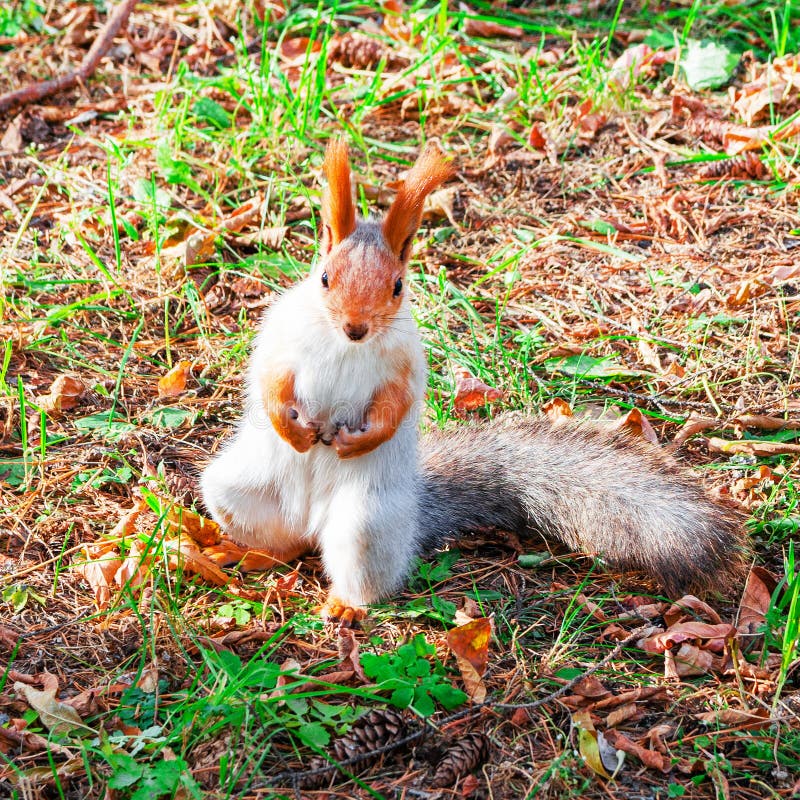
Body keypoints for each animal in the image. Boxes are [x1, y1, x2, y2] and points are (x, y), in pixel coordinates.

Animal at [200, 139, 747, 625]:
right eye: (324, 279)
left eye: (397, 286)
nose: (356, 327)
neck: (345, 346)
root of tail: (311, 521)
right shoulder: (283, 337)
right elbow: (271, 380)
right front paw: (289, 428)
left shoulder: (404, 363)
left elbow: (396, 405)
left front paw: (362, 440)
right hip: (235, 491)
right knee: (284, 541)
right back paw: (250, 554)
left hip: (363, 526)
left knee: (358, 571)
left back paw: (345, 603)